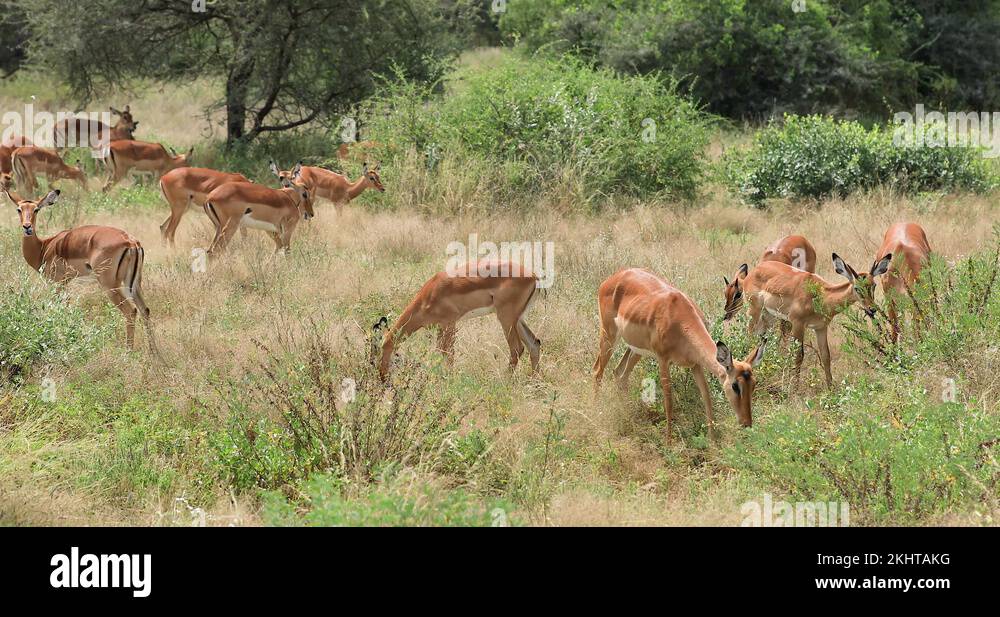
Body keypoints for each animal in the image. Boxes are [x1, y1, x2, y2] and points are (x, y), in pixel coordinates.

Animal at [2, 188, 158, 353]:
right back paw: (154, 353)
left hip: (110, 286)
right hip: (133, 284)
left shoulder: (57, 283)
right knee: (145, 310)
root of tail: (131, 242)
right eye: (19, 209)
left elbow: (59, 308)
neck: (44, 247)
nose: (27, 227)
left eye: (36, 209)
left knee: (131, 311)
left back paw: (128, 352)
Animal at [376, 261, 542, 379]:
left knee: (517, 348)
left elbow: (448, 353)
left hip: (505, 318)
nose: (381, 376)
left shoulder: (449, 323)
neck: (428, 297)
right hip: (517, 319)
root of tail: (534, 276)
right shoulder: (441, 327)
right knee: (534, 343)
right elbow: (441, 351)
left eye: (382, 347)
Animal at [593, 268, 765, 437]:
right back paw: (598, 412)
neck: (680, 320)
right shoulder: (663, 360)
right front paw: (669, 441)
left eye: (754, 384)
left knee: (619, 374)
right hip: (609, 336)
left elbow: (707, 397)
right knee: (597, 371)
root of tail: (613, 277)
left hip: (636, 349)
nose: (747, 423)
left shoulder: (696, 365)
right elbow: (669, 402)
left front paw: (712, 440)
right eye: (735, 386)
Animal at [742, 253, 892, 387]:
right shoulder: (798, 324)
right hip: (754, 312)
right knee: (748, 336)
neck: (821, 295)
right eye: (857, 288)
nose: (872, 309)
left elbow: (826, 356)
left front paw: (831, 388)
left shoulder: (820, 327)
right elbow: (798, 356)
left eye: (874, 285)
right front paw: (794, 388)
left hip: (768, 317)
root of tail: (753, 272)